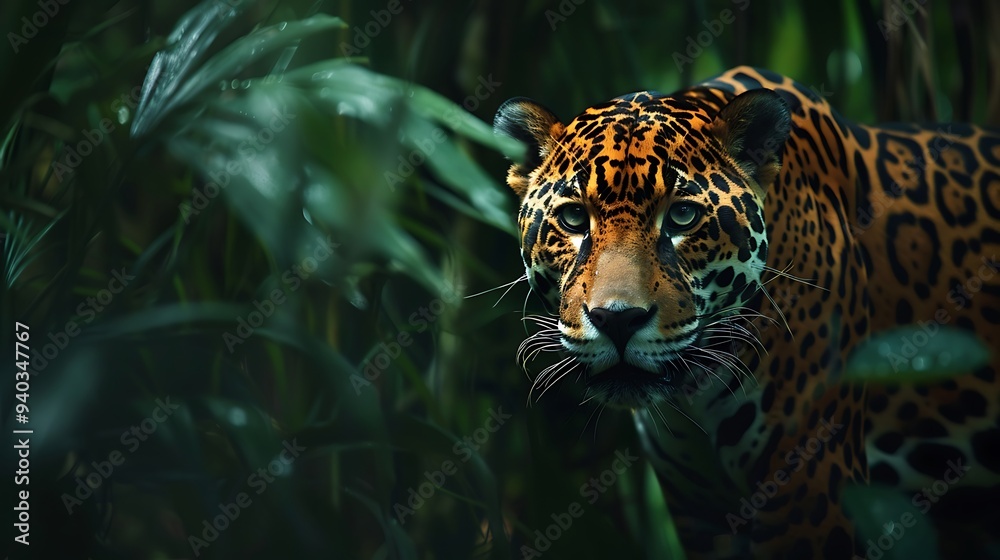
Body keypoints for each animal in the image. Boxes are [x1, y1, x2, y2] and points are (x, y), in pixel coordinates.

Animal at [492, 66, 1000, 559]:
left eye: (681, 217)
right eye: (574, 219)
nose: (618, 319)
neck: (691, 396)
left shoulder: (809, 488)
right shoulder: (699, 516)